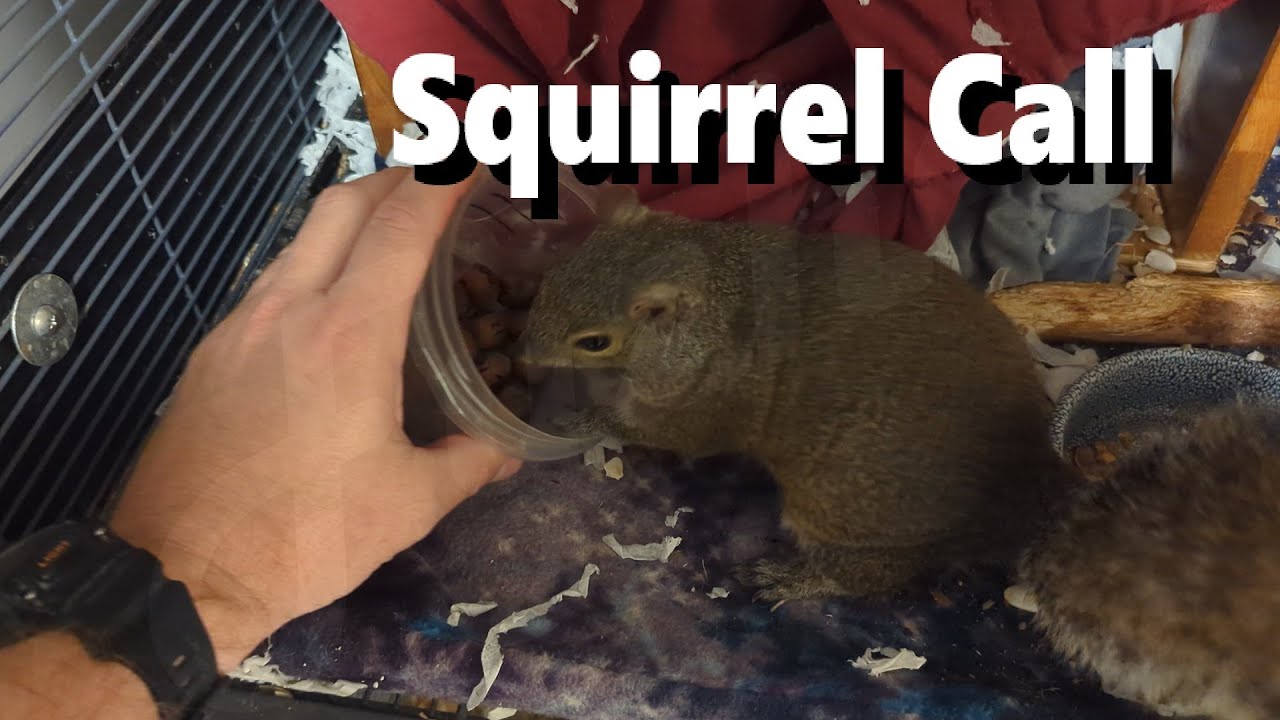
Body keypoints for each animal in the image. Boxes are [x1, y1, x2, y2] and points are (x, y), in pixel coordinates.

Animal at [516, 186, 1069, 603]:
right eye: (554, 274)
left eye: (594, 342)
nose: (523, 355)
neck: (722, 296)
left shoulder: (701, 407)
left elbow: (650, 430)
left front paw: (585, 419)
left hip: (839, 513)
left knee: (868, 579)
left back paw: (794, 579)